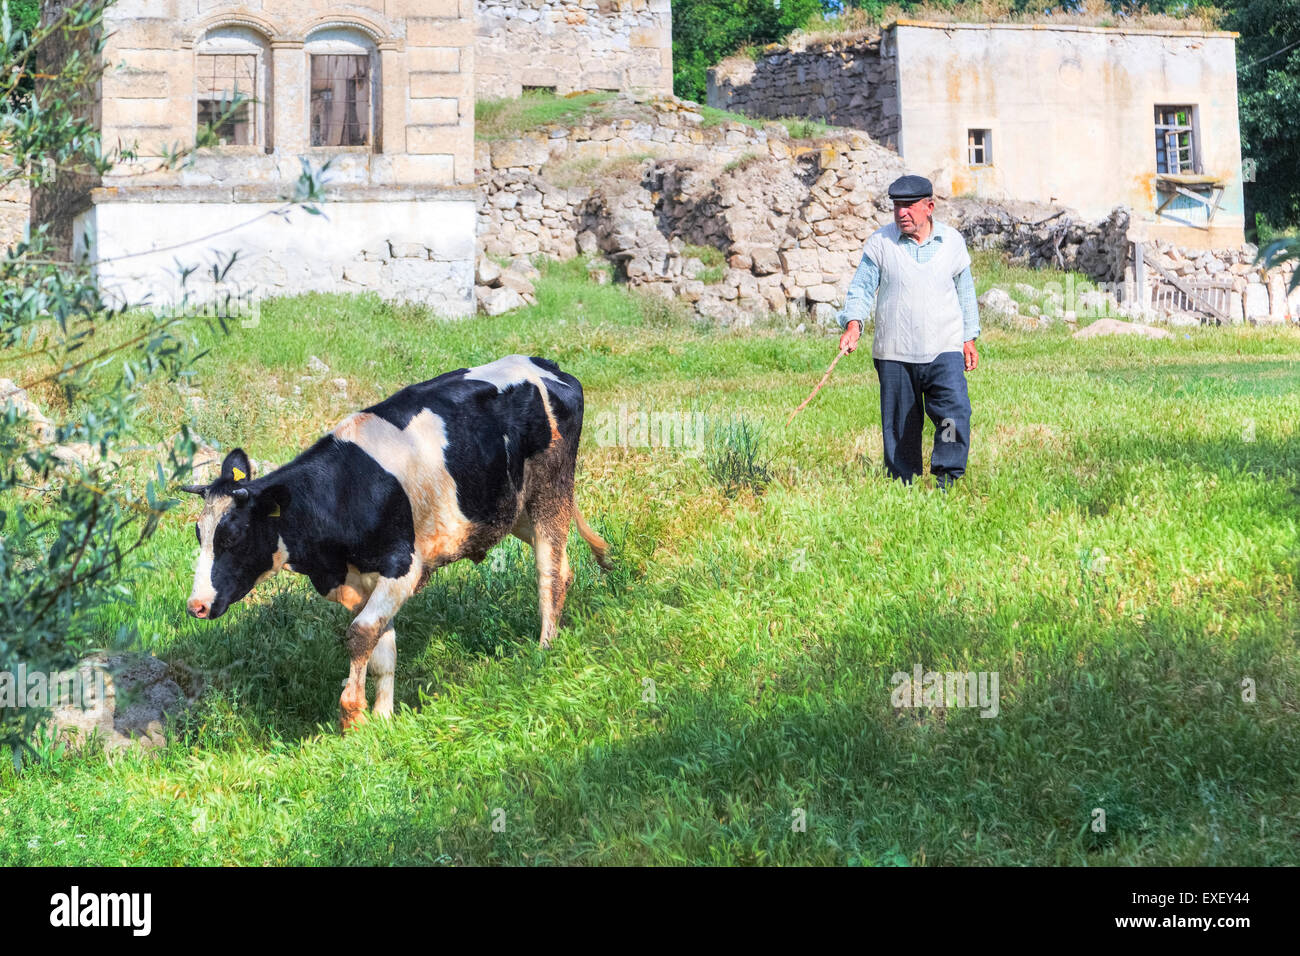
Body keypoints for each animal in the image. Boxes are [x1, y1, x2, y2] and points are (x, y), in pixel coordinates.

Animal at [182, 355, 610, 730]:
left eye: (233, 536)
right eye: (199, 534)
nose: (196, 606)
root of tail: (544, 365)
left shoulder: (402, 567)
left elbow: (360, 634)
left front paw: (353, 717)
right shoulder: (365, 580)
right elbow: (381, 648)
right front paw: (383, 718)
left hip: (551, 487)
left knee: (548, 571)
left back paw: (545, 648)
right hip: (512, 507)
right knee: (563, 566)